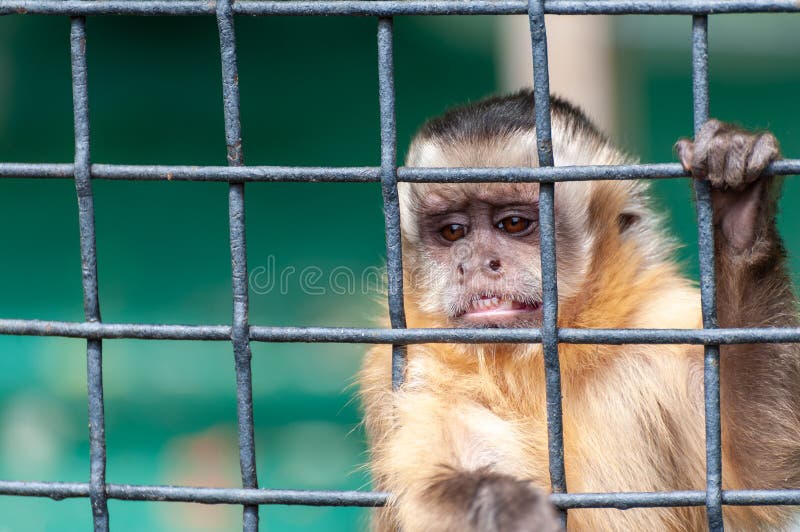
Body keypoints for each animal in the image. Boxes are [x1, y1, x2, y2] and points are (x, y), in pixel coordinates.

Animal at [359, 90, 800, 531]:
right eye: (453, 232)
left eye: (513, 224)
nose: (475, 263)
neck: (535, 362)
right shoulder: (414, 362)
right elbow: (436, 477)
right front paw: (501, 506)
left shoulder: (660, 327)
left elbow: (756, 478)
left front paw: (739, 209)